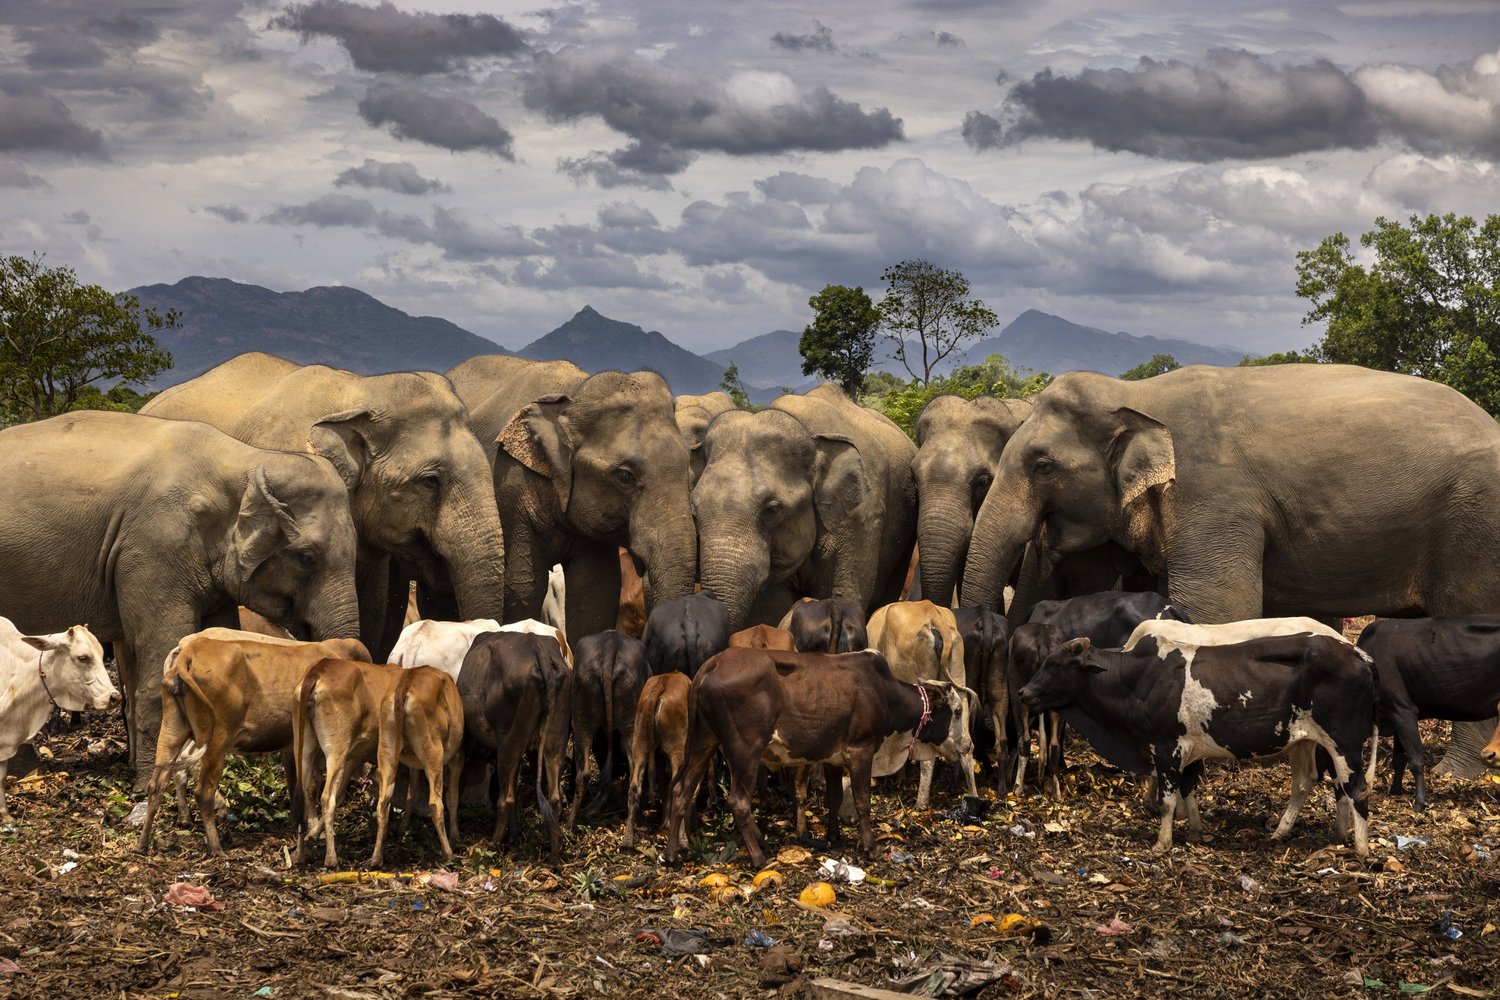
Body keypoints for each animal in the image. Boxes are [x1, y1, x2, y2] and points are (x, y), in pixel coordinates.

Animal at [450, 356, 698, 644]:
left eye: (690, 471)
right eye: (625, 476)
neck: (573, 395)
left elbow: (595, 592)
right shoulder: (511, 486)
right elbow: (523, 586)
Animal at [694, 382, 916, 632]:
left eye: (772, 510)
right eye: (694, 511)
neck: (805, 429)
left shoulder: (861, 516)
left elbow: (843, 594)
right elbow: (771, 606)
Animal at [959, 364, 1500, 776]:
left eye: (1042, 465)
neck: (1139, 394)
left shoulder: (1214, 501)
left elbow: (1217, 607)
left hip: (1475, 528)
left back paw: (1453, 771)